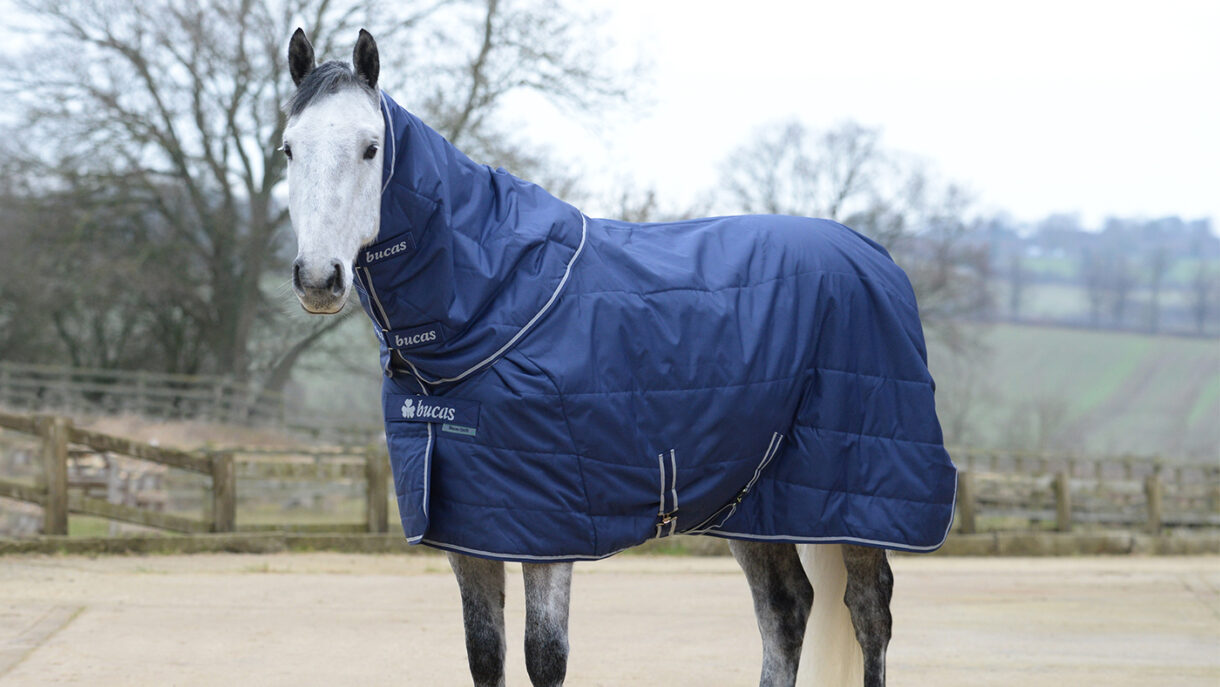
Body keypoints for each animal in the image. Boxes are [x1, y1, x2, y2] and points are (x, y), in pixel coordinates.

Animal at [281, 28, 956, 687]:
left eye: (371, 148)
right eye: (289, 149)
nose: (318, 279)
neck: (496, 303)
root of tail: (874, 256)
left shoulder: (549, 531)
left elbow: (543, 656)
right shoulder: (468, 529)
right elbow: (485, 655)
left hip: (858, 501)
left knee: (869, 614)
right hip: (758, 502)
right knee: (787, 609)